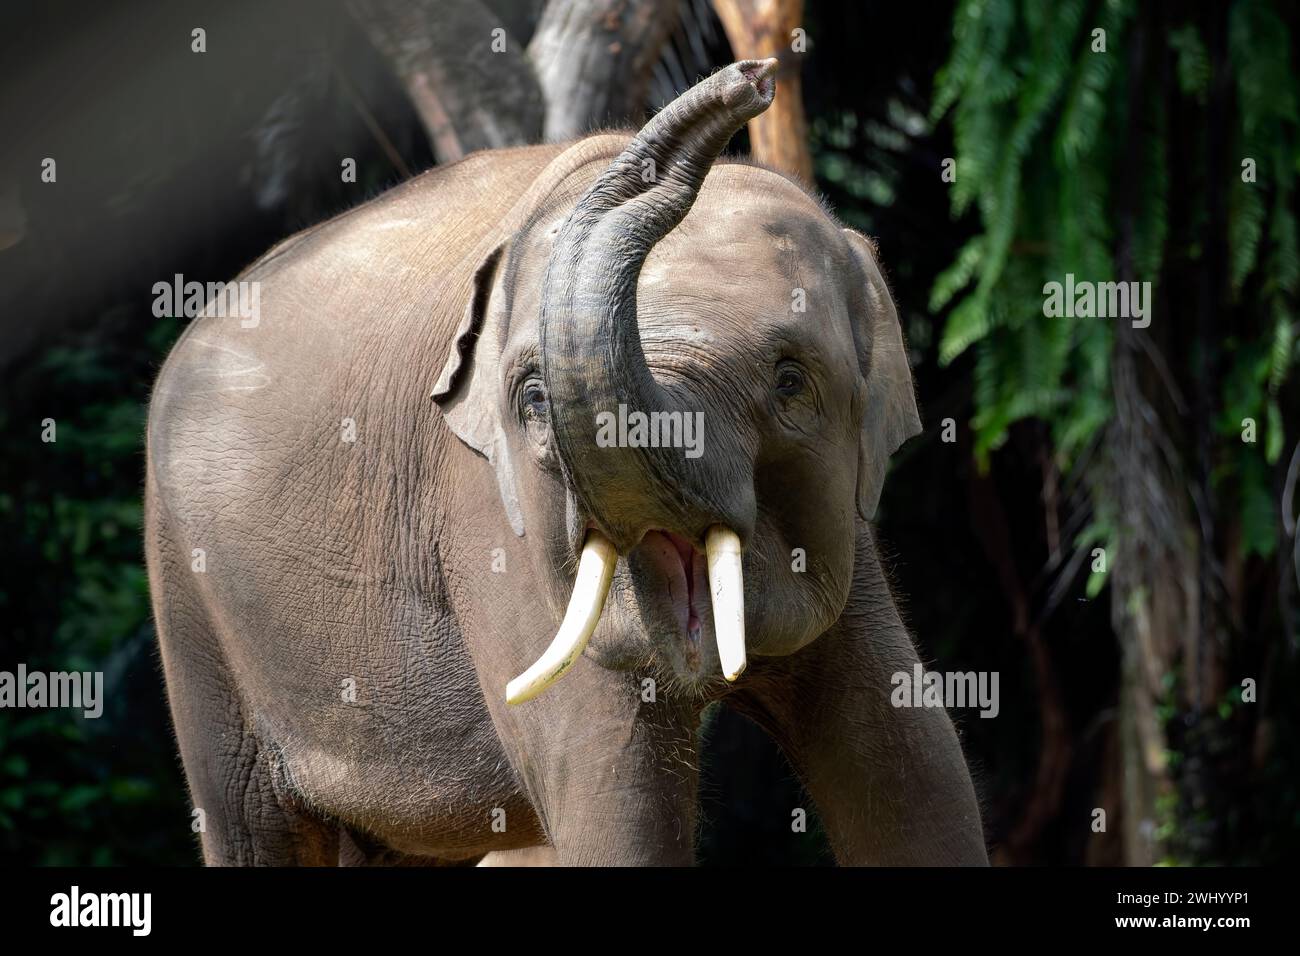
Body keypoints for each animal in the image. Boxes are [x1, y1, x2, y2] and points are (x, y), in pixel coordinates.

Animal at [144, 59, 988, 866]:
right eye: (535, 396)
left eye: (789, 381)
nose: (752, 77)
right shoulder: (489, 516)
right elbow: (615, 796)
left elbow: (911, 761)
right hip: (187, 590)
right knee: (250, 821)